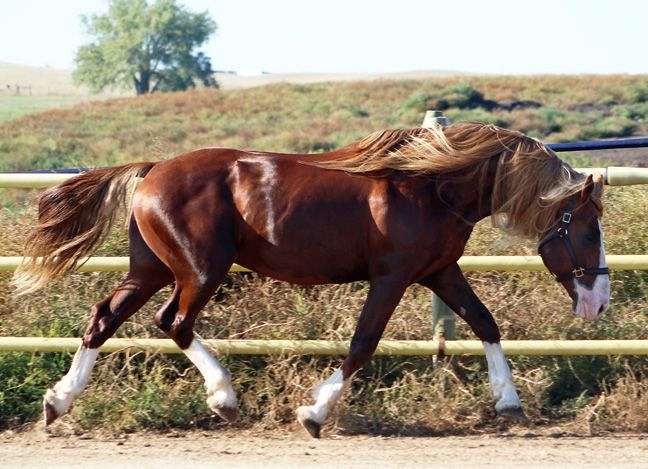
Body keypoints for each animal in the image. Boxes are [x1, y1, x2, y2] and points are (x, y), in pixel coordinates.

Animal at [13, 122, 610, 438]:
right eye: (588, 228)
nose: (599, 301)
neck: (431, 185)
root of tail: (152, 170)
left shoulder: (439, 271)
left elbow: (486, 323)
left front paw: (508, 402)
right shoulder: (392, 277)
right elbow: (364, 343)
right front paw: (314, 413)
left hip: (152, 268)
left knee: (105, 317)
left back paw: (58, 402)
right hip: (199, 270)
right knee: (174, 322)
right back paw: (224, 398)